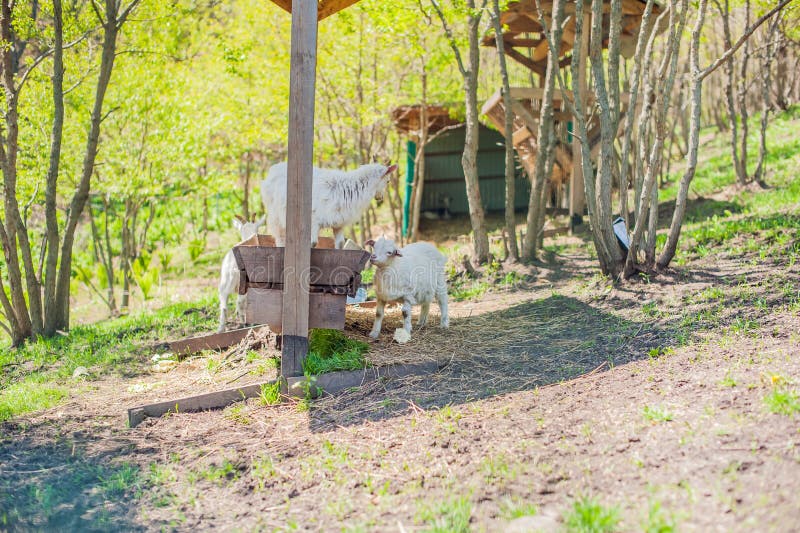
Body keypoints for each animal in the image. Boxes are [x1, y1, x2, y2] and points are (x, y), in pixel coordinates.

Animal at [261, 162, 397, 249]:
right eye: (388, 181)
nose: (380, 198)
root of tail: (273, 170)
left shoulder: (339, 223)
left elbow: (340, 244)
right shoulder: (313, 221)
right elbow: (313, 243)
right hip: (274, 214)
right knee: (279, 235)